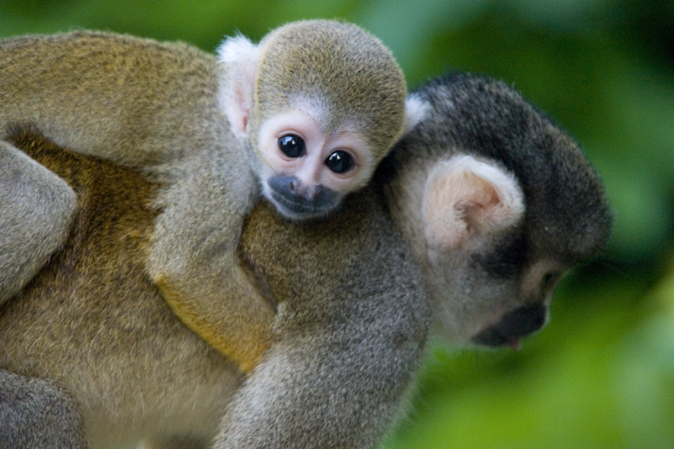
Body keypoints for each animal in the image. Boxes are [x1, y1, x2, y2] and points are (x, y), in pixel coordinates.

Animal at [0, 21, 411, 372]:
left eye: (339, 162)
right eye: (291, 146)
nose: (305, 189)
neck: (236, 128)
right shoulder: (221, 163)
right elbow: (187, 265)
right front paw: (261, 363)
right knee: (44, 207)